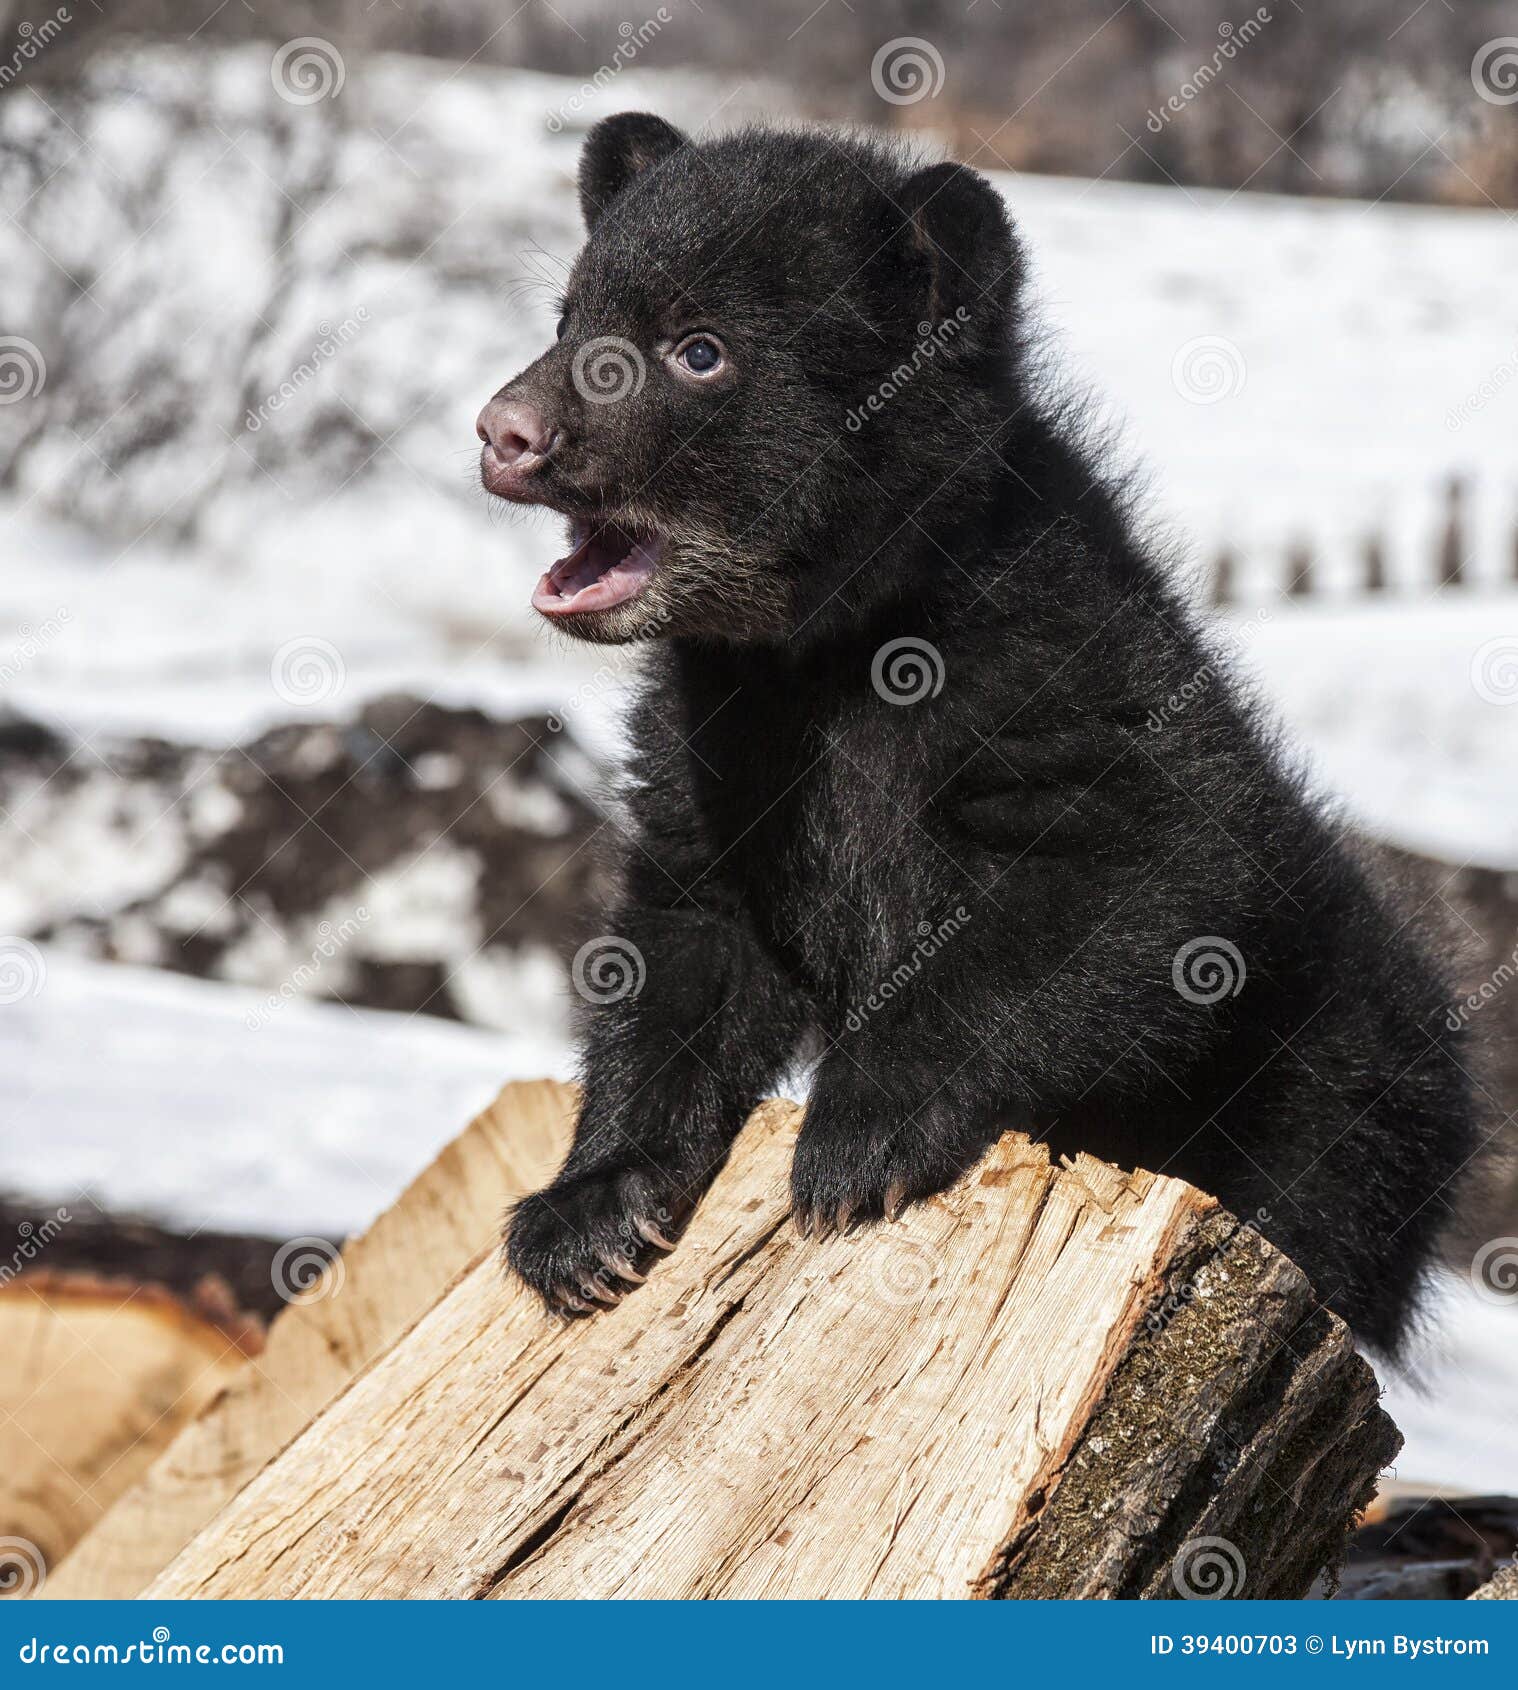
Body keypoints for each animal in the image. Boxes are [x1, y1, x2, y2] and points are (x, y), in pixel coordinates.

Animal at [477, 112, 1476, 1357]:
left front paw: (856, 1140)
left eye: (697, 350)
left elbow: (1131, 881)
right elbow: (683, 933)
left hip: (1331, 1115)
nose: (505, 431)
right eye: (571, 320)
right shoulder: (716, 745)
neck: (830, 647)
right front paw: (589, 1215)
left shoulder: (1057, 674)